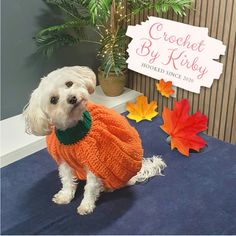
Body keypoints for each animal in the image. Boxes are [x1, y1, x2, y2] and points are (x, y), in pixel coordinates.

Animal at [24, 65, 167, 215]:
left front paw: (86, 205)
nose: (72, 98)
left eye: (69, 83)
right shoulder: (64, 161)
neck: (74, 131)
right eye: (53, 100)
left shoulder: (94, 163)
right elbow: (67, 181)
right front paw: (65, 196)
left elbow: (90, 187)